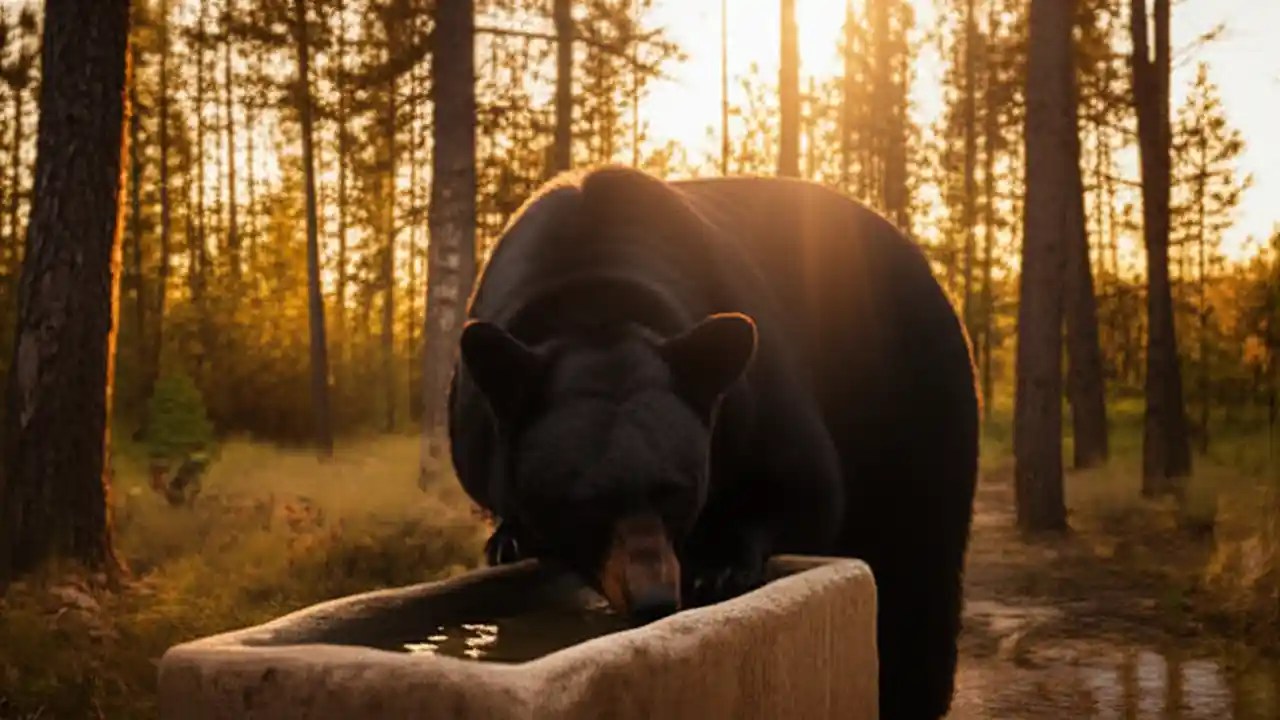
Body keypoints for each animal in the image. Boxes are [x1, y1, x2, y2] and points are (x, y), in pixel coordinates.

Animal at [447, 166, 979, 720]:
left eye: (677, 491)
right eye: (585, 504)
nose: (655, 601)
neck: (594, 299)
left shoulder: (757, 379)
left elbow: (806, 483)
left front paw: (718, 566)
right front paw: (510, 538)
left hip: (912, 390)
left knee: (917, 565)